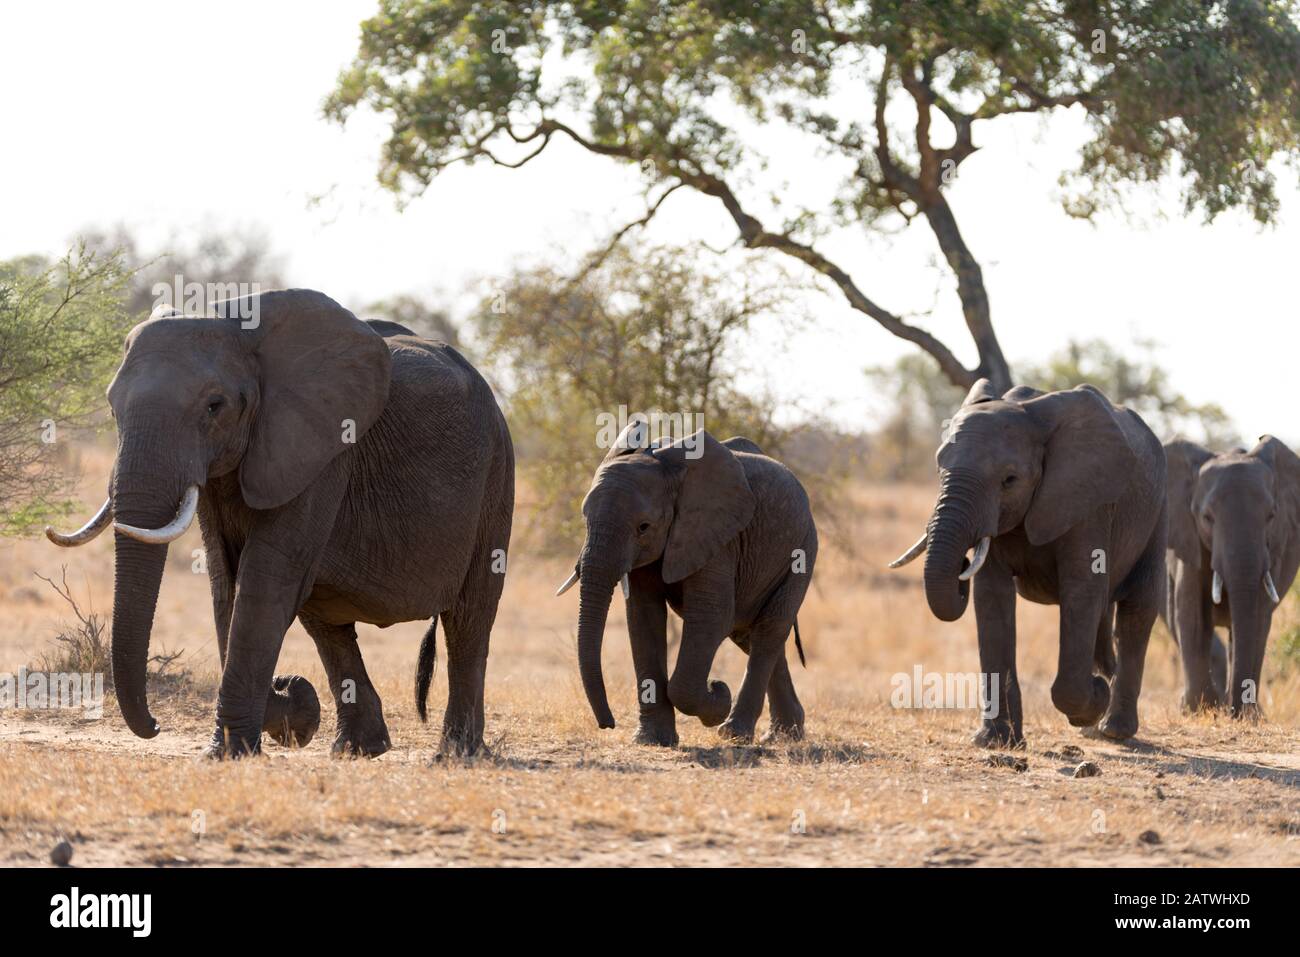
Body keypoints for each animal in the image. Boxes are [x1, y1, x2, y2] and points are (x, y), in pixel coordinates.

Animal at [46, 289, 514, 758]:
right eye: (112, 410)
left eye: (214, 406)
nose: (157, 725)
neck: (238, 324)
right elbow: (225, 581)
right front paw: (286, 716)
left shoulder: (325, 448)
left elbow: (265, 578)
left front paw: (235, 748)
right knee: (327, 624)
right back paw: (357, 748)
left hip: (496, 473)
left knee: (469, 620)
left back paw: (455, 754)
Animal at [556, 422, 817, 745]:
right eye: (584, 521)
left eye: (643, 527)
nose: (608, 724)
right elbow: (644, 617)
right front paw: (652, 740)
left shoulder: (717, 535)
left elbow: (710, 616)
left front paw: (718, 695)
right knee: (750, 634)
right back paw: (784, 735)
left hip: (802, 549)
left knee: (770, 628)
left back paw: (734, 733)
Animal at [889, 380, 1166, 747]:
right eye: (939, 469)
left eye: (1009, 480)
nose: (962, 562)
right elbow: (992, 599)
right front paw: (995, 740)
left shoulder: (1088, 502)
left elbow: (1081, 590)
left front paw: (1094, 698)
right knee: (1105, 612)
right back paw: (1096, 720)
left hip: (1159, 511)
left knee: (1138, 609)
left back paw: (1113, 727)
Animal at [1162, 437, 1300, 718]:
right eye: (1207, 518)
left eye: (1271, 516)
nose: (1234, 711)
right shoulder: (1189, 542)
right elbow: (1192, 615)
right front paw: (1200, 709)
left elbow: (1257, 618)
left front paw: (1245, 716)